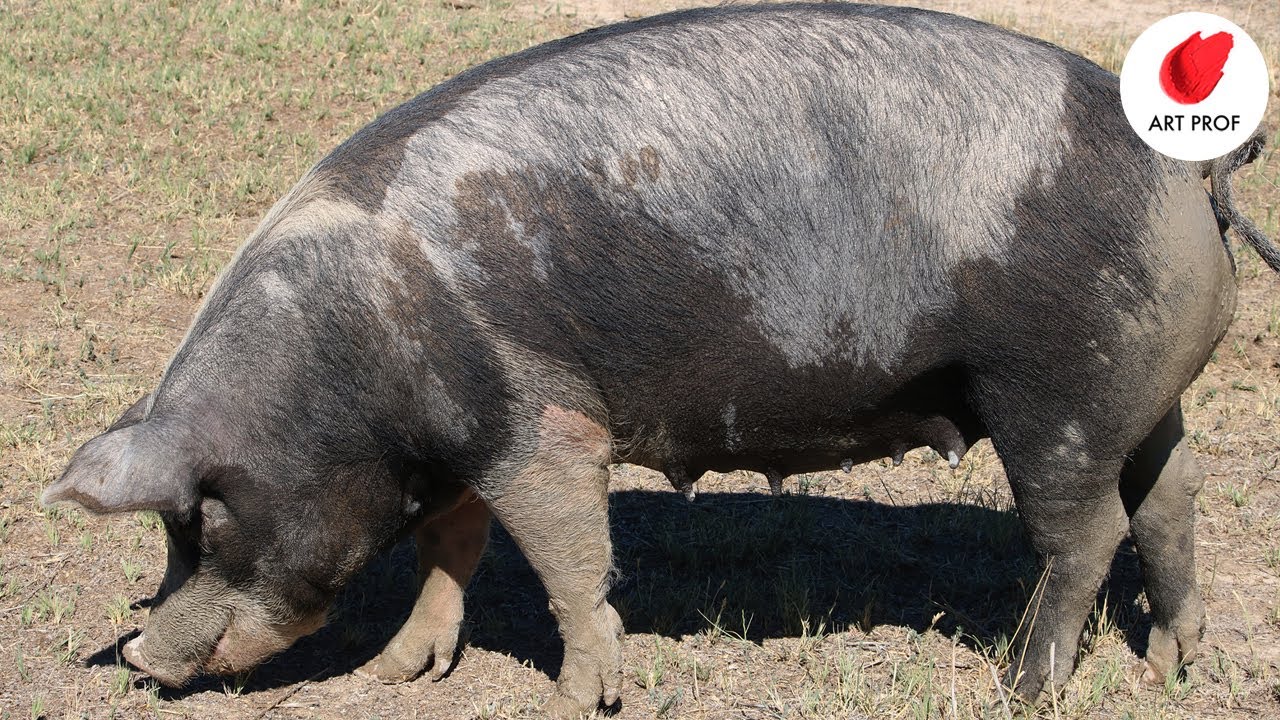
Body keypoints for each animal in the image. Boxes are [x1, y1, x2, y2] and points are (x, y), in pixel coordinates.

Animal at [42, 3, 1279, 716]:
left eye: (201, 520)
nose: (145, 660)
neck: (345, 359)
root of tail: (1185, 174)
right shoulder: (460, 445)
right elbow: (450, 549)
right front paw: (401, 675)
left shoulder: (542, 425)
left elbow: (565, 560)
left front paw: (581, 700)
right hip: (1144, 391)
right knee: (1171, 497)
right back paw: (1170, 666)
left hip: (1055, 392)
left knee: (1086, 533)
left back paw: (1018, 688)